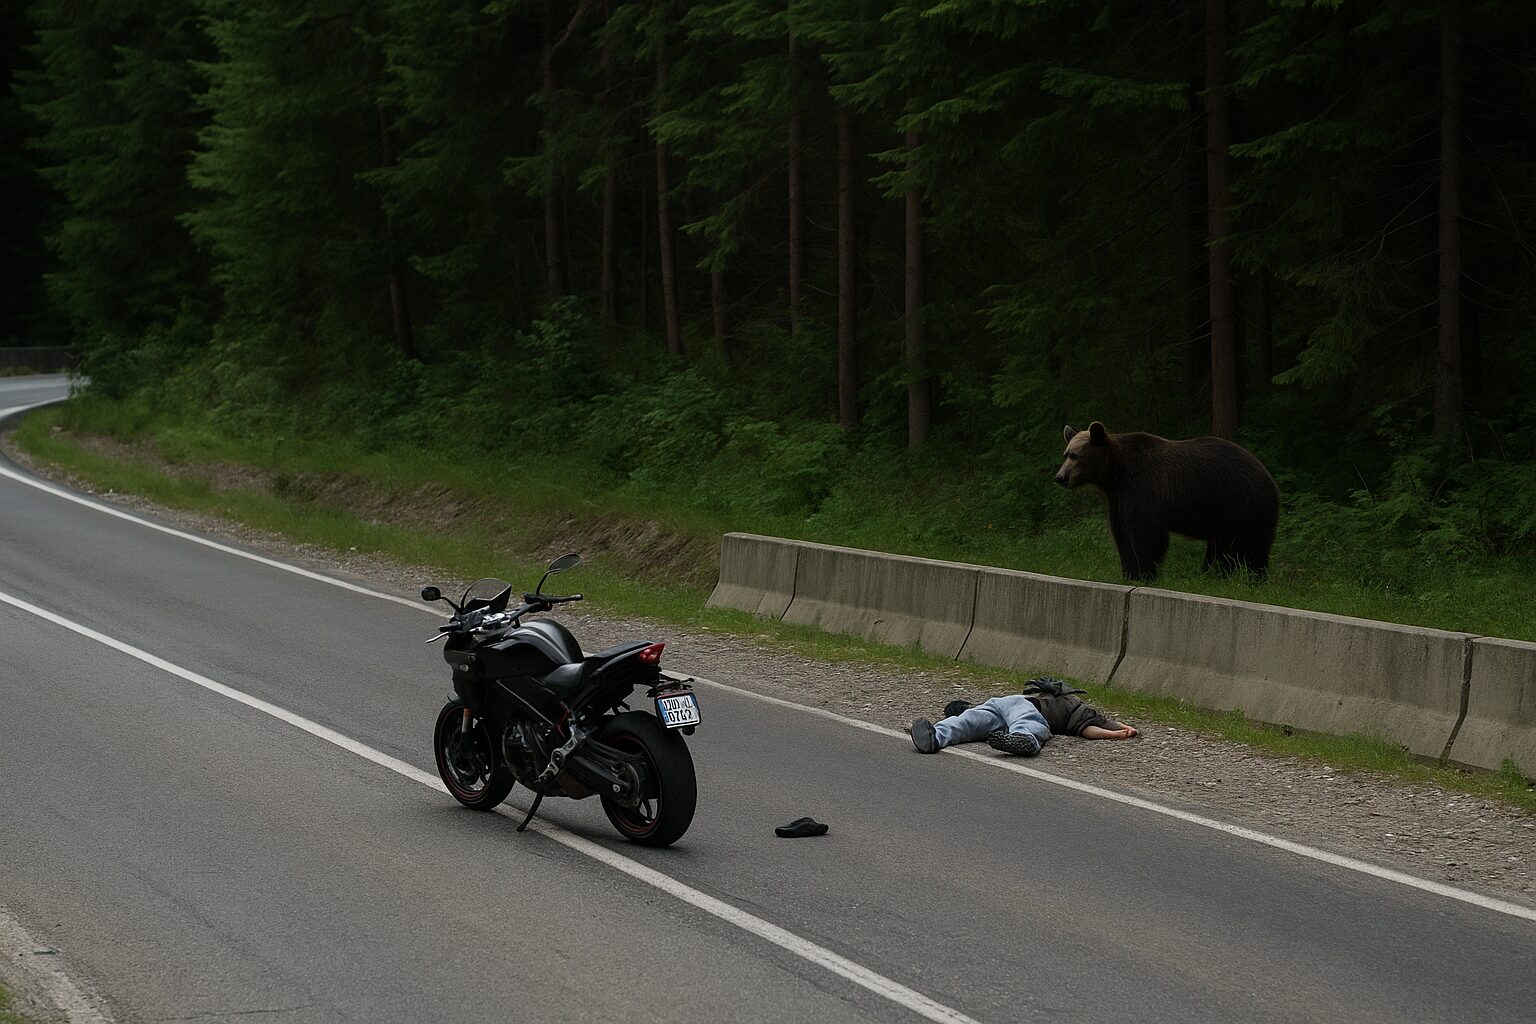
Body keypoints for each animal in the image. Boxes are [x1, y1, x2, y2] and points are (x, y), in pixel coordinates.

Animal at [1055, 421, 1279, 581]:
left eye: (1076, 456)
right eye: (1066, 454)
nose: (1060, 477)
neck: (1116, 473)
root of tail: (1269, 477)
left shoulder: (1144, 488)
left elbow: (1146, 534)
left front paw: (1144, 573)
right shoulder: (1118, 499)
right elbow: (1122, 534)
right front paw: (1128, 572)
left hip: (1240, 503)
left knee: (1248, 545)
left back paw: (1251, 577)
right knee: (1222, 546)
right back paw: (1213, 574)